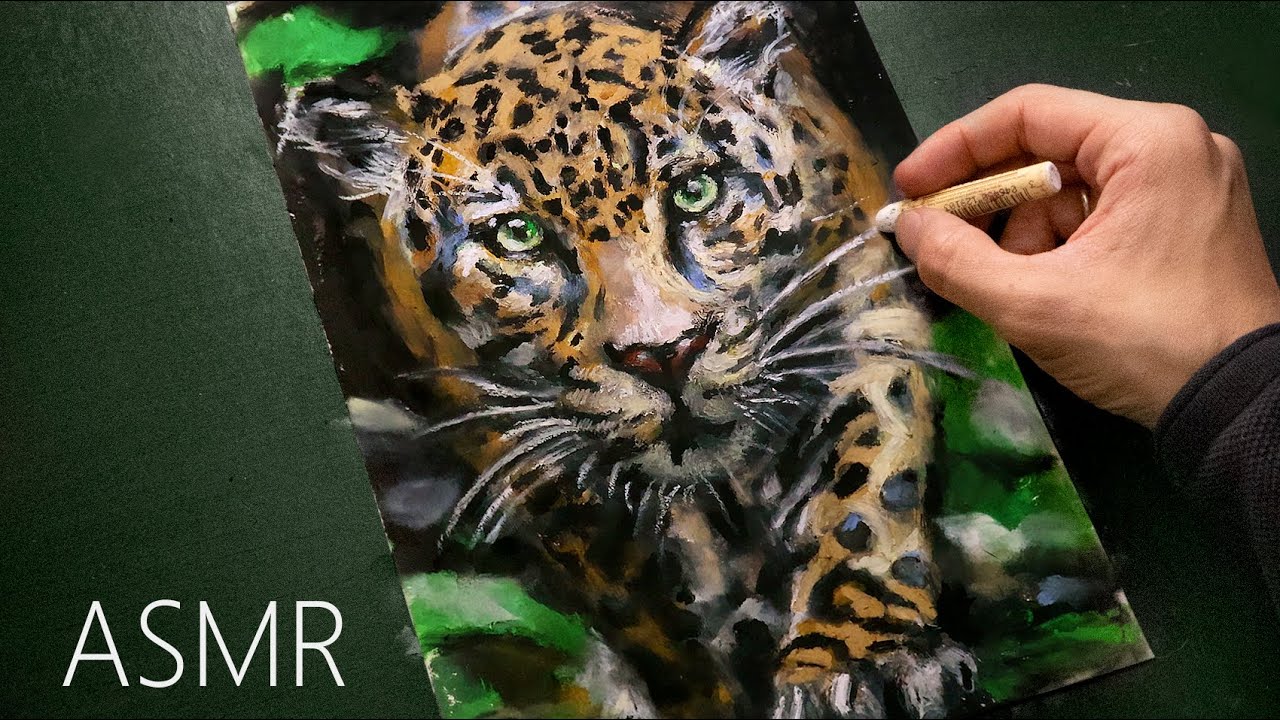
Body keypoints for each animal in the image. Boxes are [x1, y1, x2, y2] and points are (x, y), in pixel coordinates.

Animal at [282, 1, 982, 717]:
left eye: (696, 192)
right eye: (517, 236)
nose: (664, 355)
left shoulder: (862, 313)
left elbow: (867, 495)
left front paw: (860, 655)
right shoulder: (531, 457)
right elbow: (655, 605)